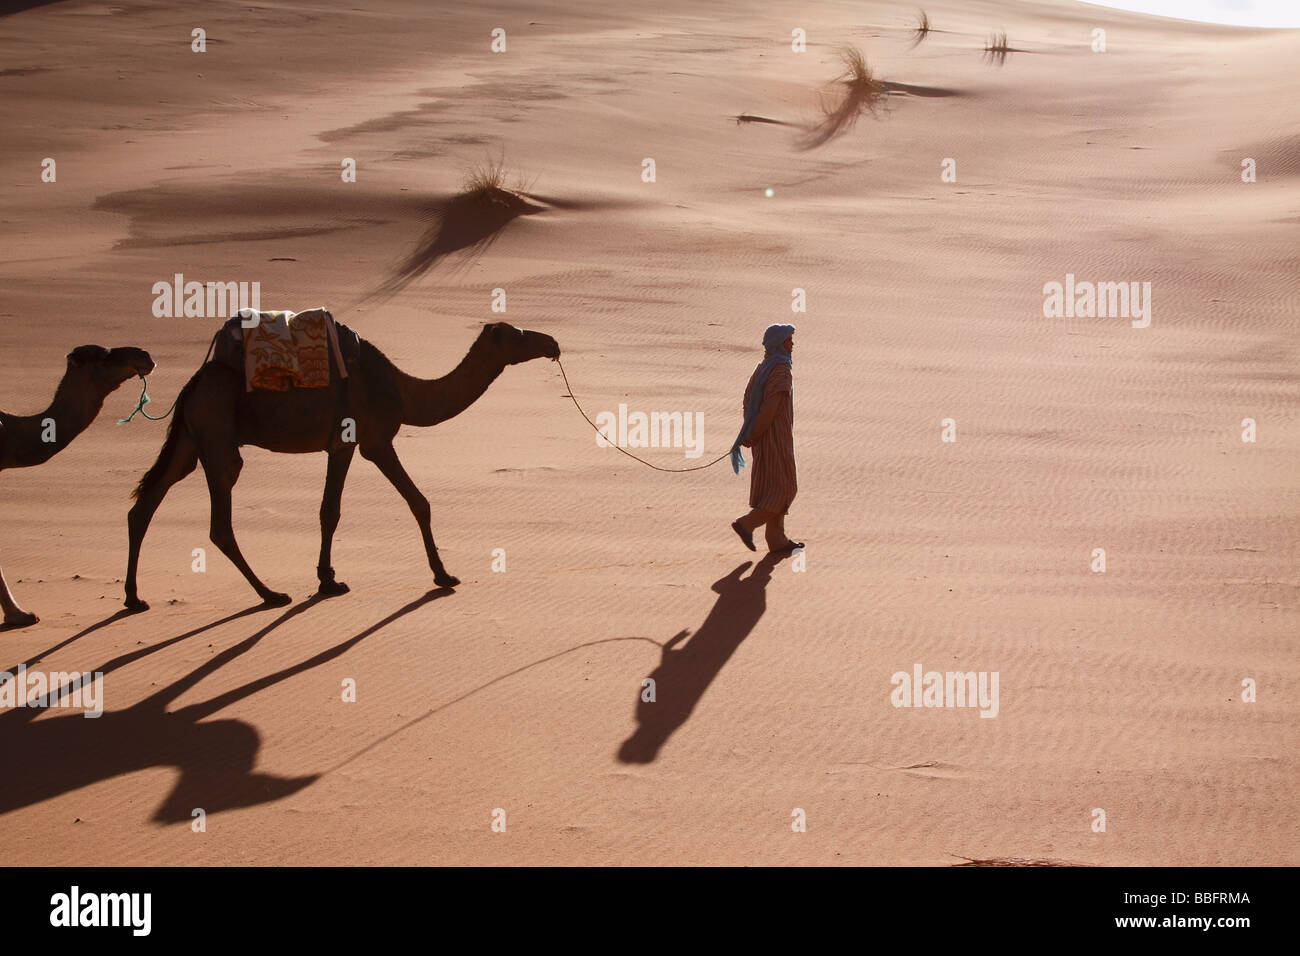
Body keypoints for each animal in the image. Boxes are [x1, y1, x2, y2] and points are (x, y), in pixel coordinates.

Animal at [124, 321, 560, 610]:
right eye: (518, 335)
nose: (552, 341)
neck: (402, 391)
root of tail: (191, 385)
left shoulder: (341, 445)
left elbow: (328, 511)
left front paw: (327, 579)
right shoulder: (371, 441)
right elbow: (414, 502)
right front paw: (443, 575)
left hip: (189, 438)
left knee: (145, 505)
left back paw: (134, 597)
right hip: (217, 434)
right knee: (219, 522)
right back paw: (270, 594)